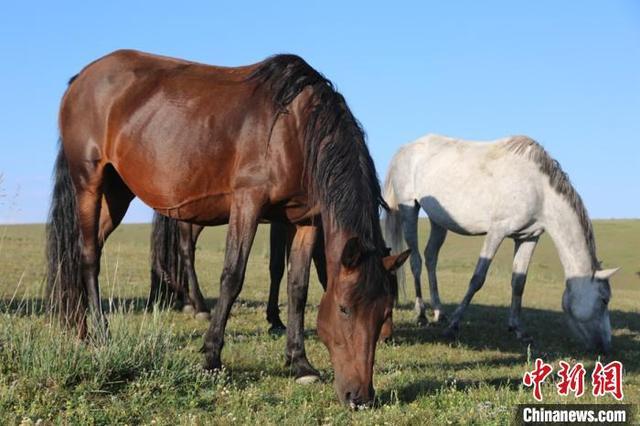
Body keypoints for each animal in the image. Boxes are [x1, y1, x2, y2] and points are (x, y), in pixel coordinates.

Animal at [149, 214, 394, 340]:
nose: (385, 336)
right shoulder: (281, 221)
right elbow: (277, 266)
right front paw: (275, 320)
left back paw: (185, 300)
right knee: (185, 246)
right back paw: (197, 305)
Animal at [384, 134, 618, 353]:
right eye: (604, 300)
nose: (606, 347)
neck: (538, 189)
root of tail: (404, 149)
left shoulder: (528, 237)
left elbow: (519, 282)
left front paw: (518, 329)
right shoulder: (497, 231)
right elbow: (477, 279)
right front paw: (454, 326)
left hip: (439, 220)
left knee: (431, 257)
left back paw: (439, 312)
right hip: (409, 208)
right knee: (415, 260)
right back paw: (422, 314)